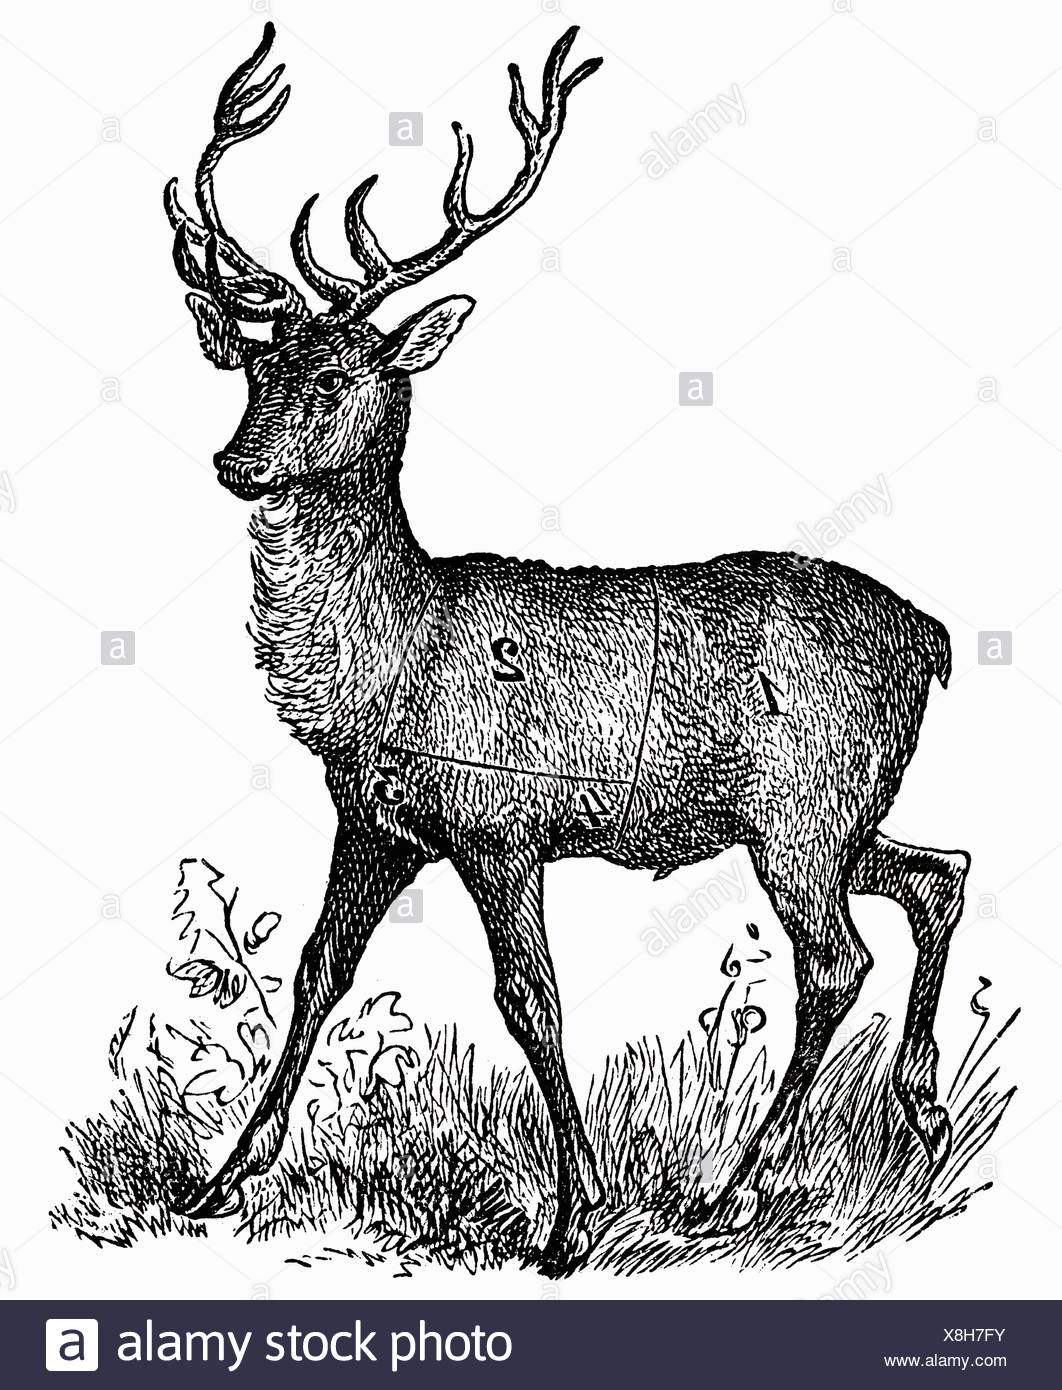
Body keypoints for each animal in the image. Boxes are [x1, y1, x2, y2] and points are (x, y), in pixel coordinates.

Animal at [164, 23, 970, 1274]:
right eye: (255, 369)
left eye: (340, 374)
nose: (234, 463)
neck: (393, 670)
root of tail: (932, 638)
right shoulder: (376, 823)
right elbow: (316, 971)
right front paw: (219, 1178)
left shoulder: (501, 825)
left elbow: (528, 997)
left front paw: (572, 1219)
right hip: (838, 814)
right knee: (939, 872)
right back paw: (921, 1114)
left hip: (801, 808)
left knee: (838, 959)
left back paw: (738, 1190)